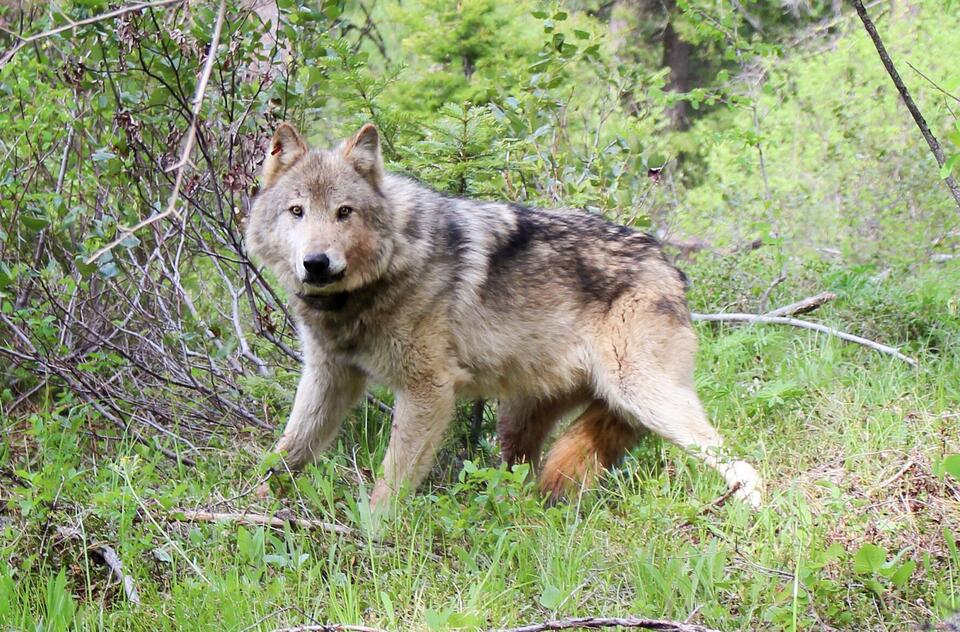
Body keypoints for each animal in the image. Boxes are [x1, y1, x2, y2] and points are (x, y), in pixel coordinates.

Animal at [245, 122, 762, 508]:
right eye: (297, 211)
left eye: (344, 212)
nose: (316, 263)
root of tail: (670, 266)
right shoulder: (328, 378)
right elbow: (284, 453)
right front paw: (249, 508)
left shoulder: (428, 391)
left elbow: (390, 485)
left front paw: (374, 537)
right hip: (519, 423)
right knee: (524, 481)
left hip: (643, 397)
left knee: (740, 463)